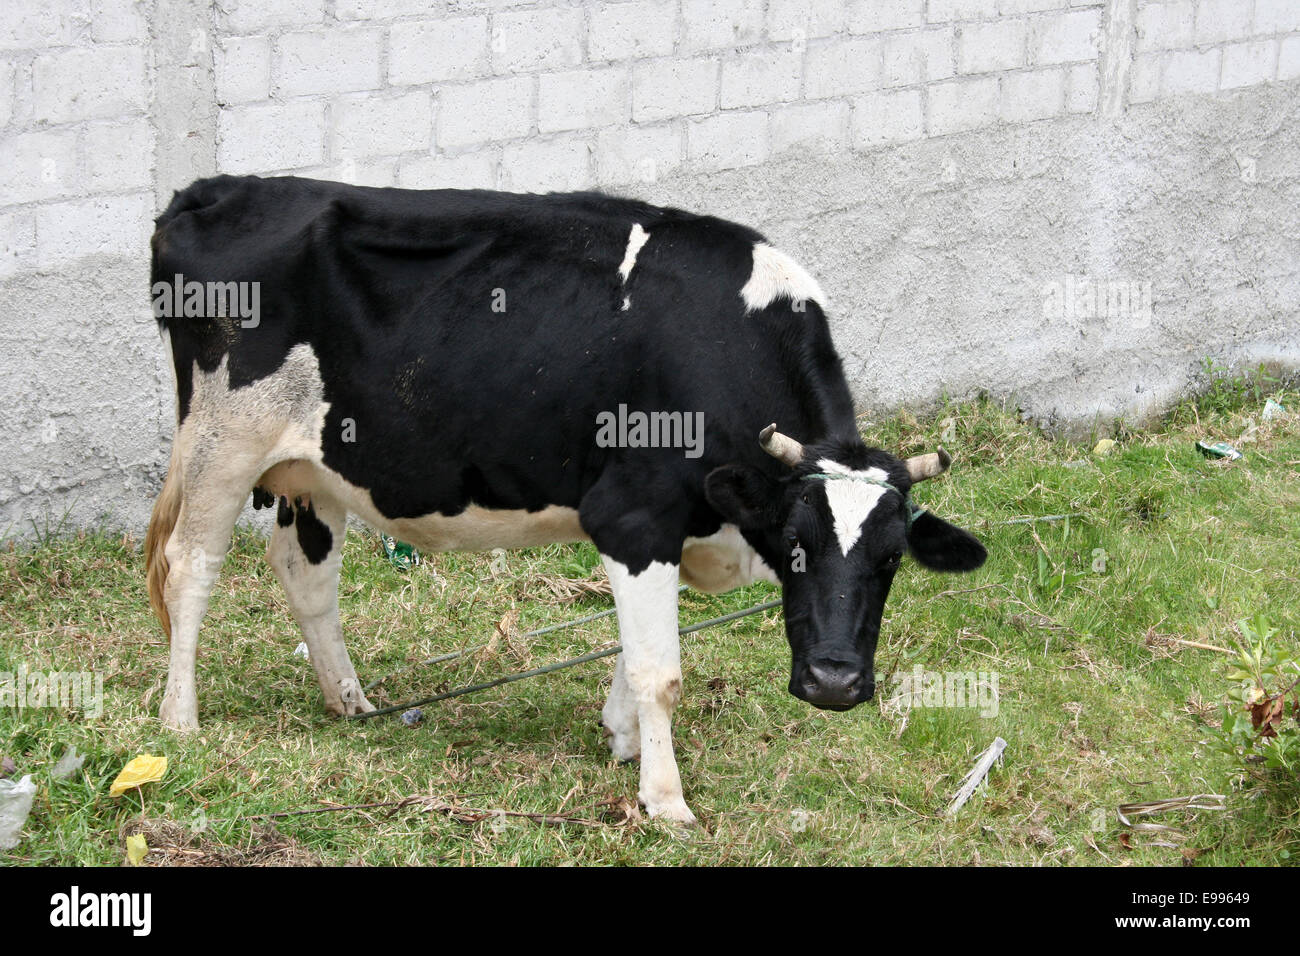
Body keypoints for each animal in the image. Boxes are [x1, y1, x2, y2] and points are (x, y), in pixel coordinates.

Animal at [145, 175, 987, 825]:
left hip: (314, 468)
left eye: (890, 562)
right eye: (797, 543)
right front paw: (665, 799)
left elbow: (636, 648)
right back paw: (181, 721)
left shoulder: (664, 532)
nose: (835, 683)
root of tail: (215, 190)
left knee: (303, 570)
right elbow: (660, 669)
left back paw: (347, 700)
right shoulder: (633, 515)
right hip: (224, 440)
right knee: (190, 568)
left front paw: (622, 736)